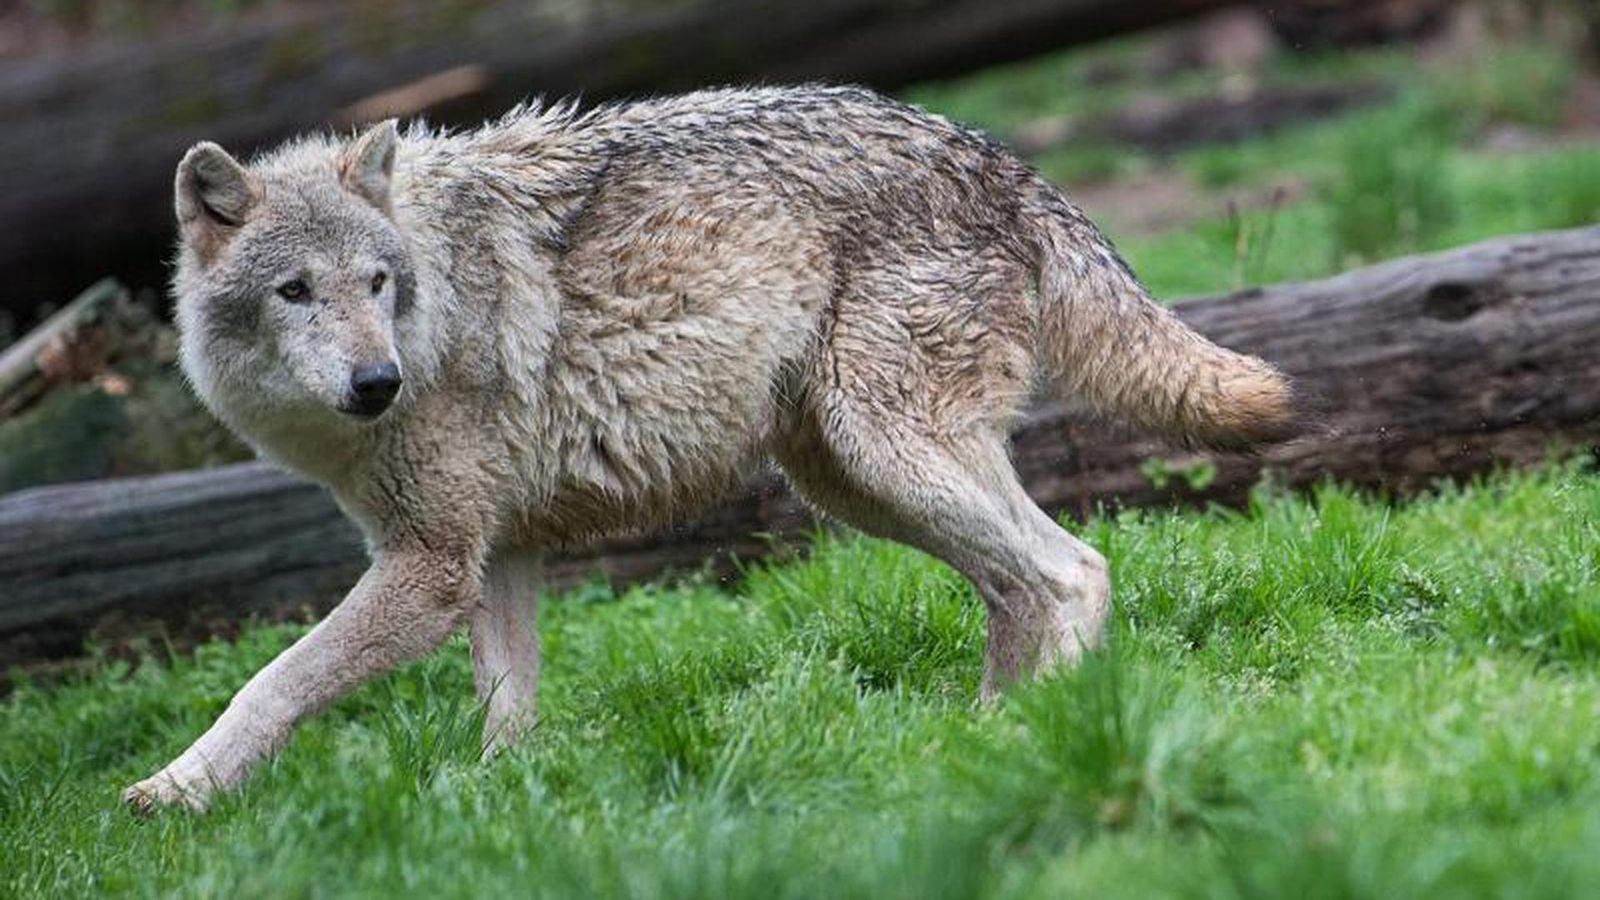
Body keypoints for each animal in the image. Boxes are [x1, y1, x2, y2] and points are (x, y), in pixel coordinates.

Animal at [126, 85, 1293, 812]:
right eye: (295, 292)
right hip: (852, 484)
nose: (378, 383)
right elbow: (506, 714)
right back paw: (983, 738)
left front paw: (174, 792)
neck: (435, 295)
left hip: (885, 456)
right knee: (1016, 591)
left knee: (1075, 569)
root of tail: (996, 155)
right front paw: (500, 812)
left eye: (376, 283)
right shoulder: (494, 556)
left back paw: (1042, 735)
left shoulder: (429, 569)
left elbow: (271, 680)